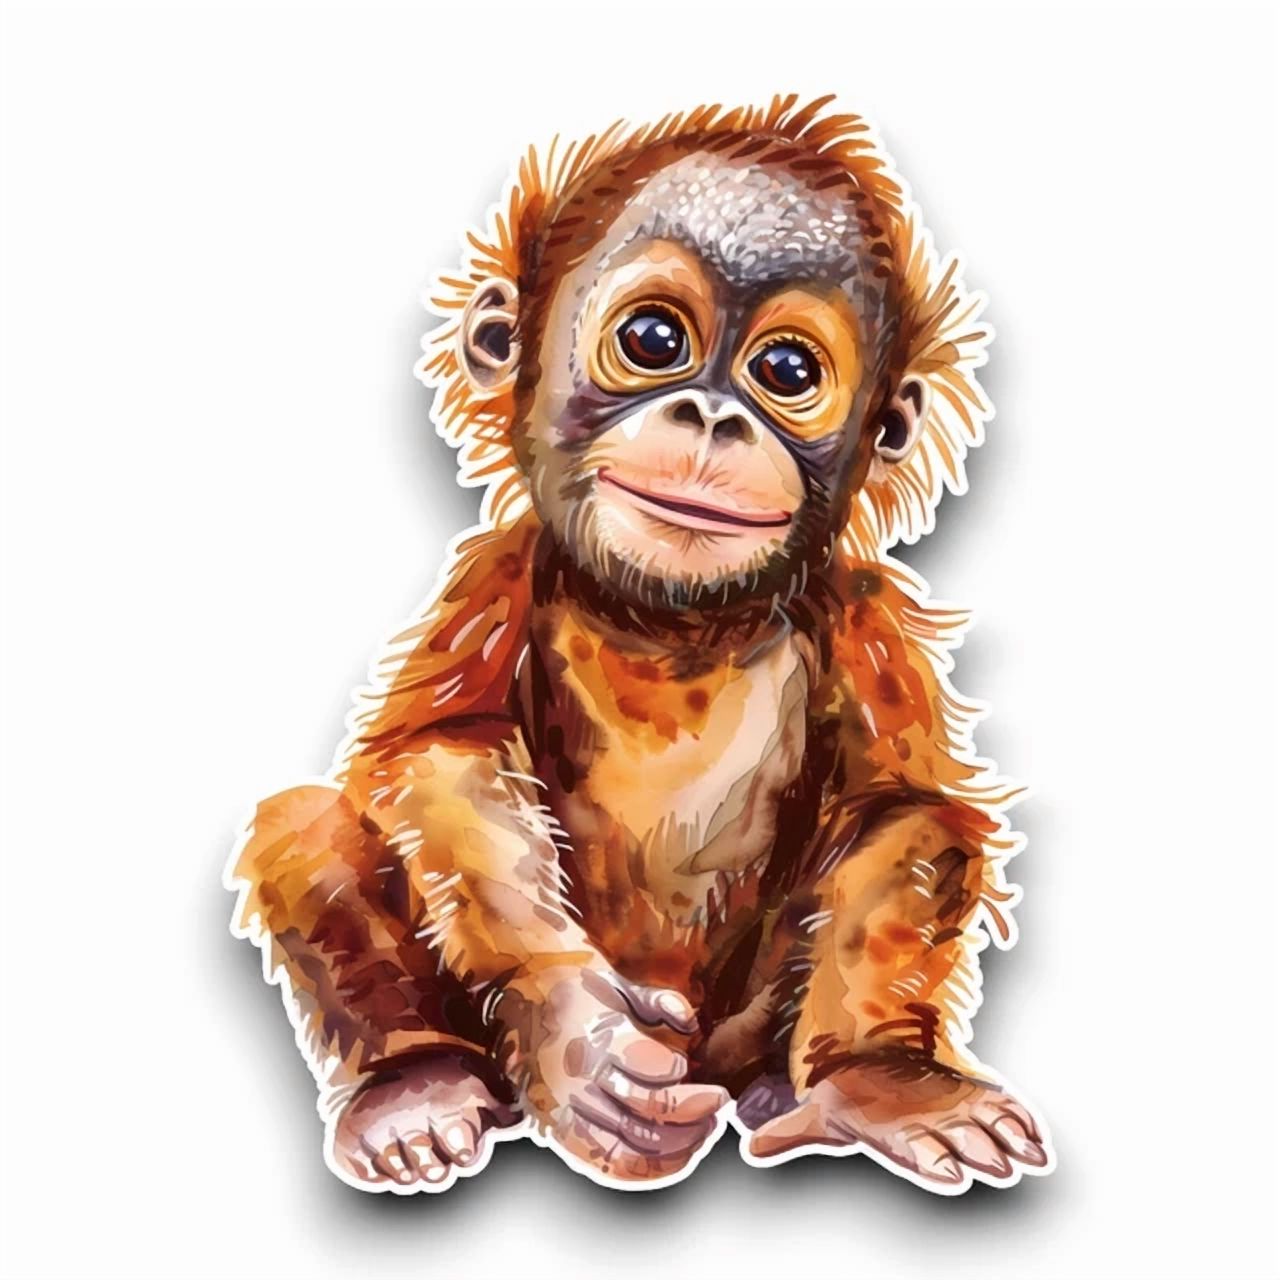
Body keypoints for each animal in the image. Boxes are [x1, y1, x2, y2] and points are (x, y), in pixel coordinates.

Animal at [227, 95, 1051, 1196]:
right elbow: (444, 749)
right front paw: (575, 1035)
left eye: (785, 372)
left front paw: (876, 1075)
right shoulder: (495, 575)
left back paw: (803, 1094)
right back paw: (415, 1089)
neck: (673, 619)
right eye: (654, 339)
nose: (710, 415)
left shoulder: (861, 611)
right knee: (303, 824)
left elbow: (901, 810)